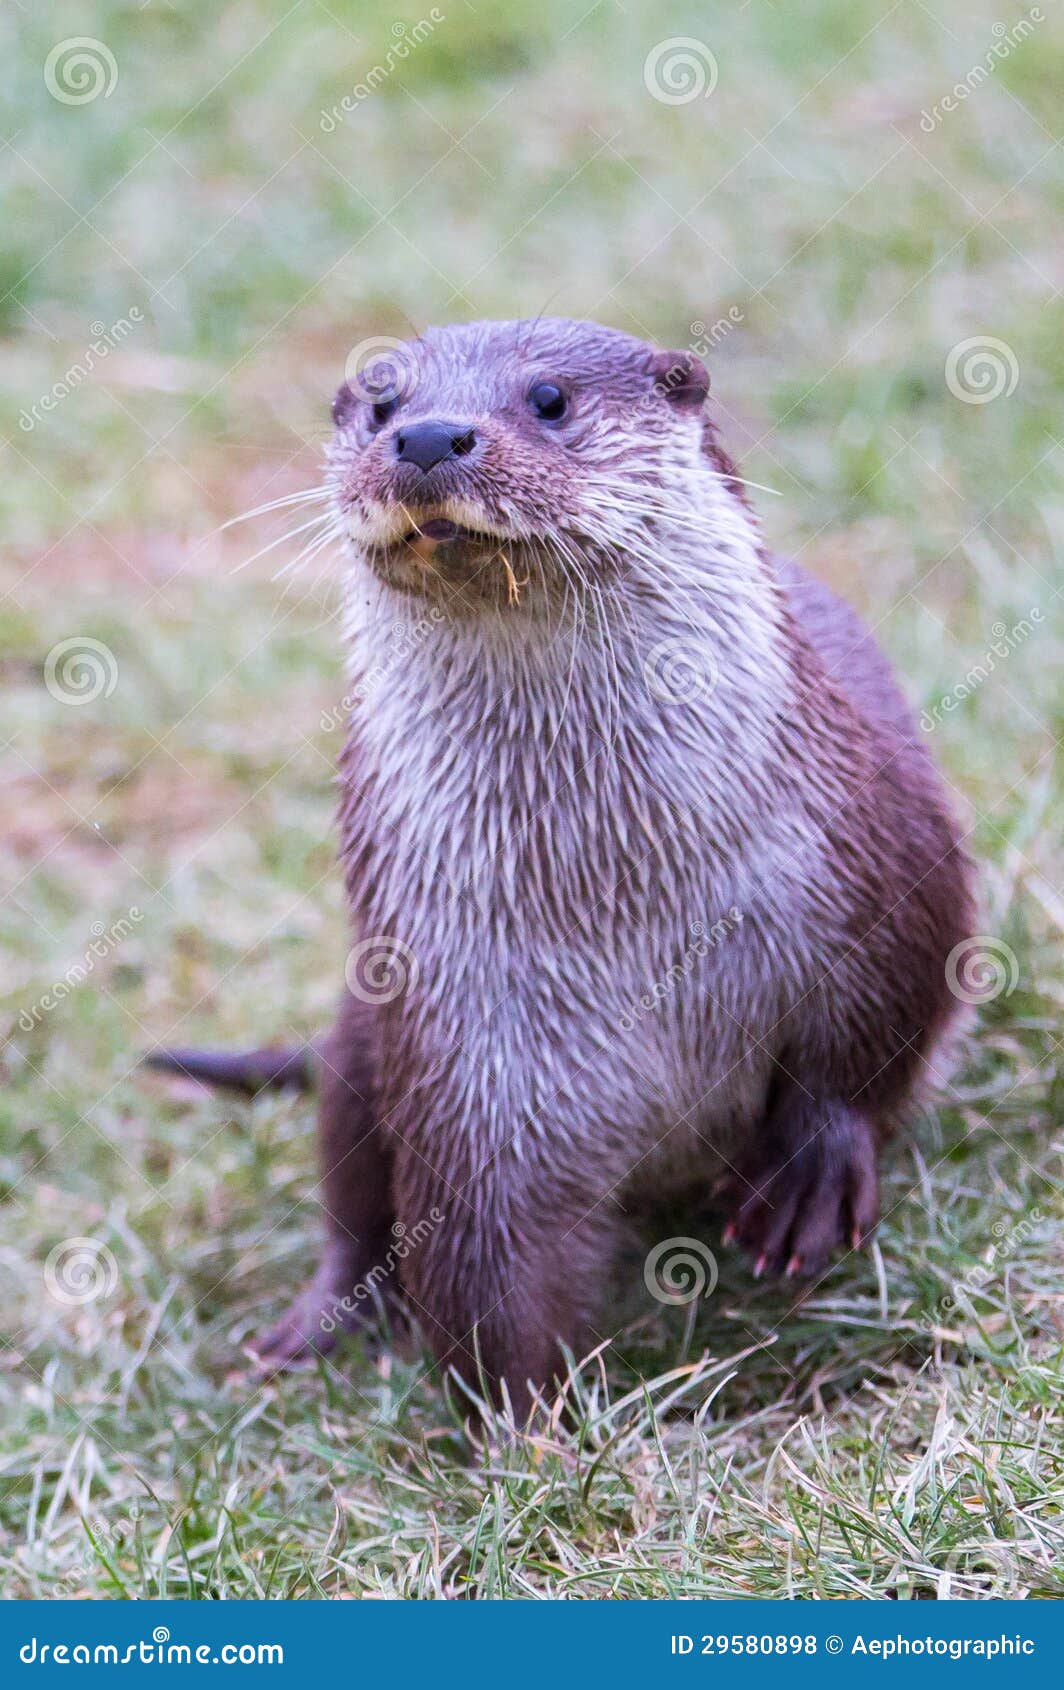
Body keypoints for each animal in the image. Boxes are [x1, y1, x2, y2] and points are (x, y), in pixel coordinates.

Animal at [148, 317, 974, 1416]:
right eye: (382, 401)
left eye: (549, 398)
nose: (428, 435)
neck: (627, 902)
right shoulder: (461, 1024)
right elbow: (480, 1240)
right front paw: (531, 1425)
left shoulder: (872, 849)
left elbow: (883, 1017)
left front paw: (809, 1173)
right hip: (367, 1025)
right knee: (348, 1178)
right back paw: (317, 1323)